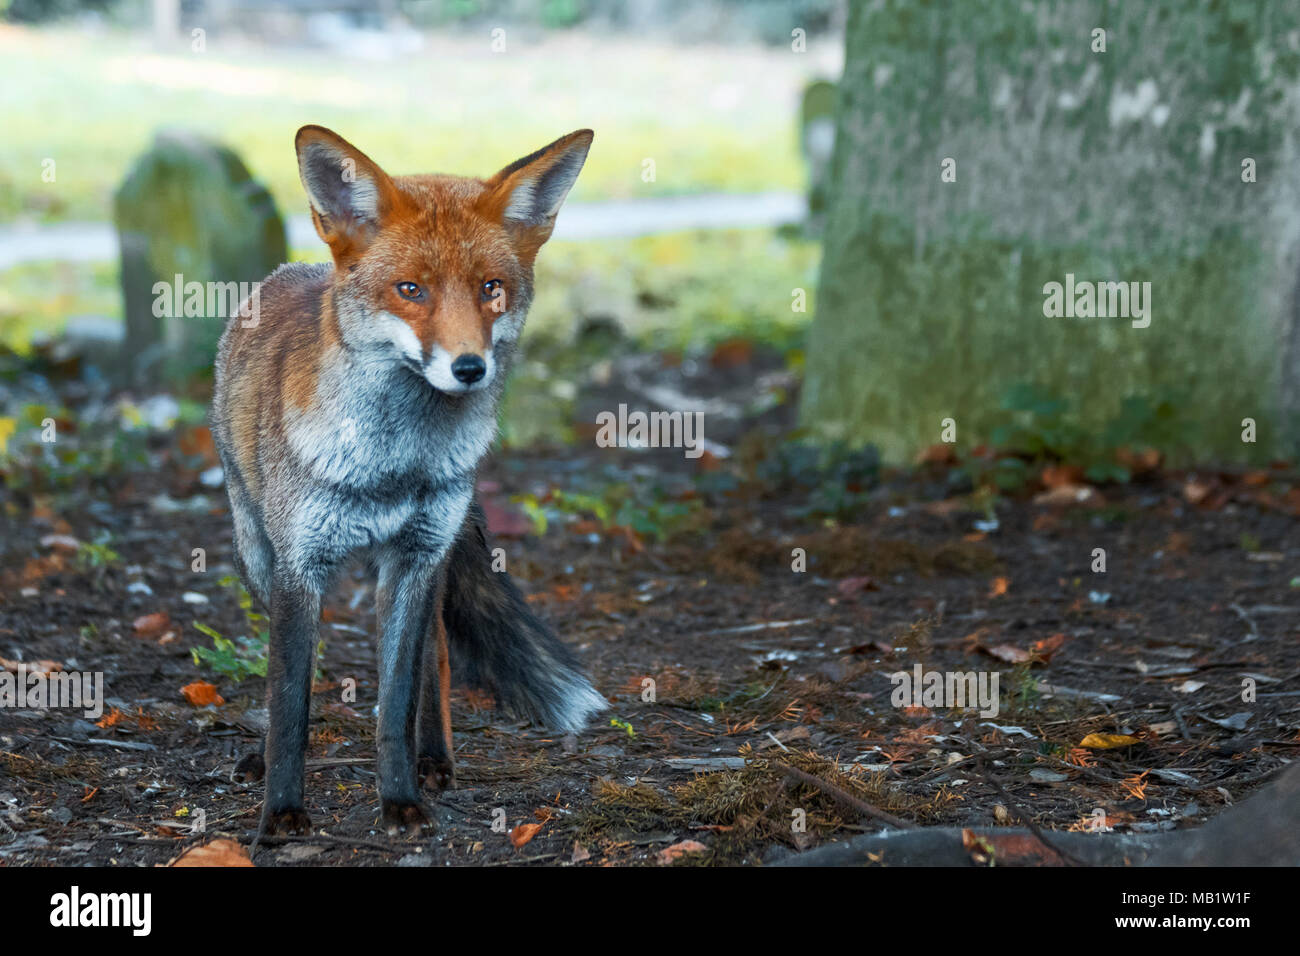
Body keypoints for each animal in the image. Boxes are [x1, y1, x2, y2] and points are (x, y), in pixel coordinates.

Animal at [210, 125, 607, 836]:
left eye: (490, 287)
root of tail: (294, 270)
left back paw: (435, 760)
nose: (470, 368)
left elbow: (396, 701)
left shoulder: (416, 556)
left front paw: (400, 800)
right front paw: (282, 810)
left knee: (438, 653)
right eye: (411, 290)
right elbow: (290, 702)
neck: (395, 462)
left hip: (427, 566)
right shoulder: (300, 567)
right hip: (257, 555)